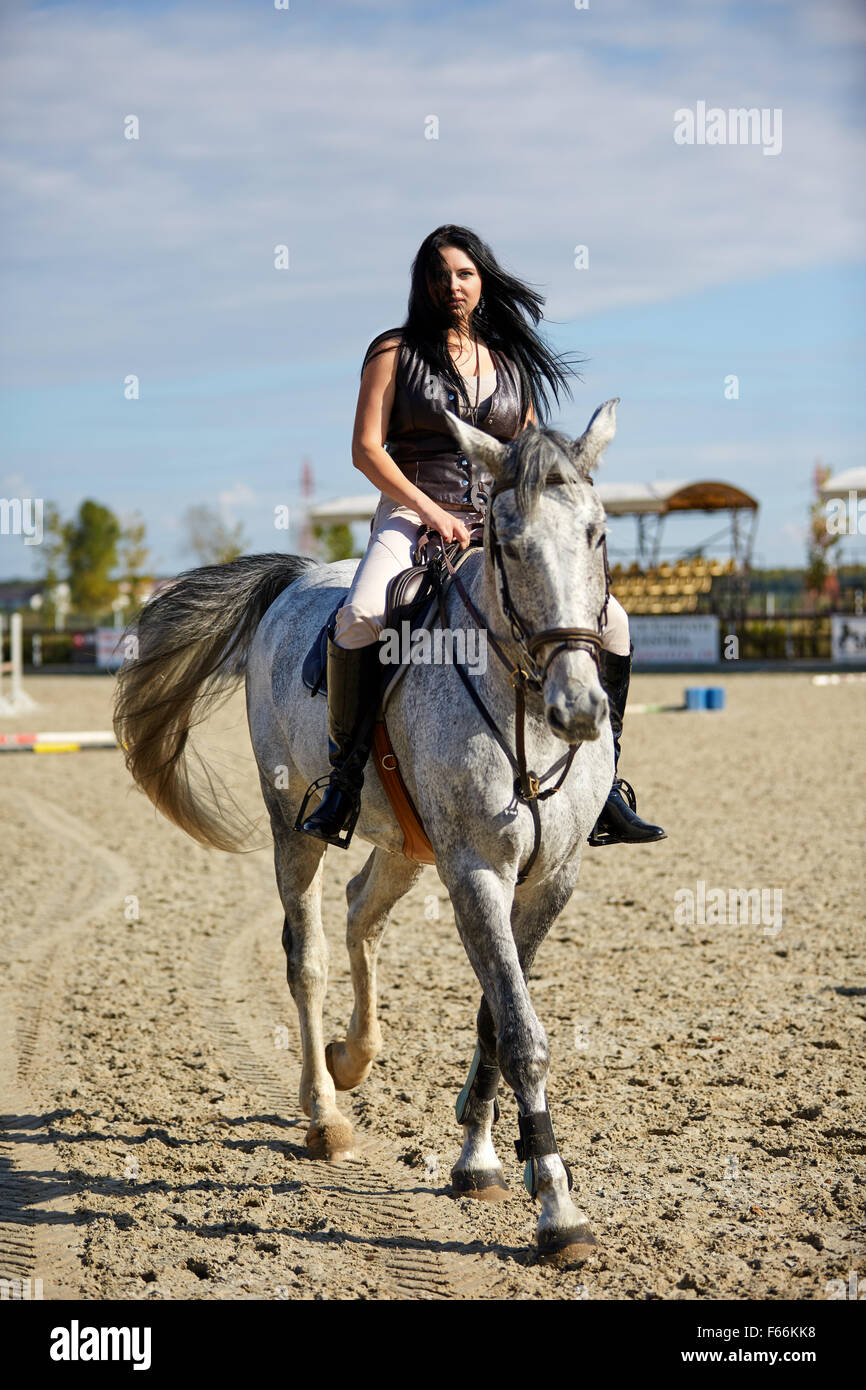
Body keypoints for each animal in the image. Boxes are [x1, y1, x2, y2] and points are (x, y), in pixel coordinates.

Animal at [115, 400, 619, 1262]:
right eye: (509, 542)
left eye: (597, 533)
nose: (579, 709)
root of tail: (296, 580)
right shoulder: (476, 869)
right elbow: (520, 1031)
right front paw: (558, 1209)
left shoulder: (550, 880)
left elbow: (495, 1015)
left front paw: (480, 1160)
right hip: (296, 824)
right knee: (308, 956)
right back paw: (326, 1114)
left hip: (409, 848)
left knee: (360, 911)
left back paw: (354, 1058)